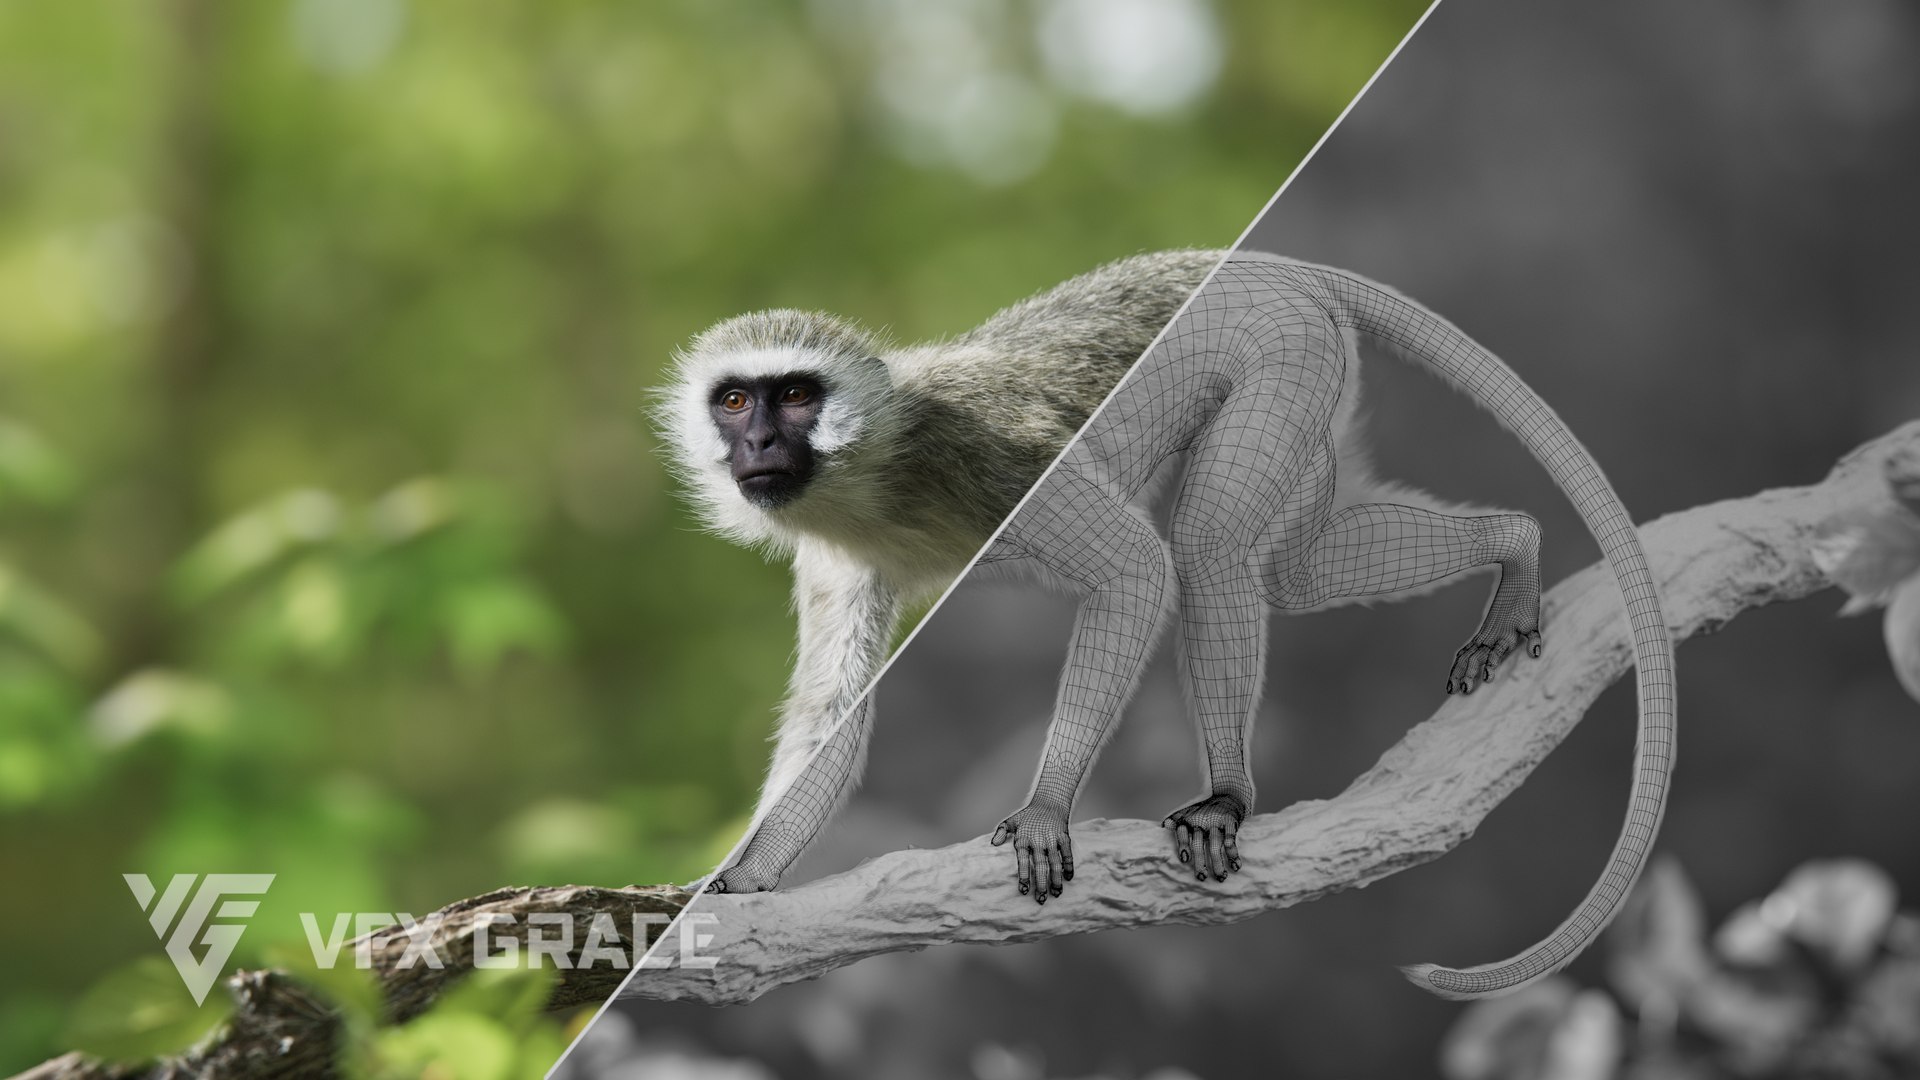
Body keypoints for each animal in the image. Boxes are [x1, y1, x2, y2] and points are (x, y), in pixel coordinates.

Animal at [658, 250, 1223, 895]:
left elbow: (1133, 564)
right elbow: (833, 711)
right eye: (734, 402)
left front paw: (1046, 808)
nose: (759, 439)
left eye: (795, 394)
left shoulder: (992, 448)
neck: (886, 472)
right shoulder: (835, 557)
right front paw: (747, 872)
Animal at [974, 250, 1675, 1000]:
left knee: (1210, 544)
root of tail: (1273, 266)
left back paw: (1228, 796)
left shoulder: (1015, 480)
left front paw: (1046, 808)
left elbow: (1133, 570)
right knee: (1294, 572)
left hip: (1290, 350)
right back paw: (1512, 541)